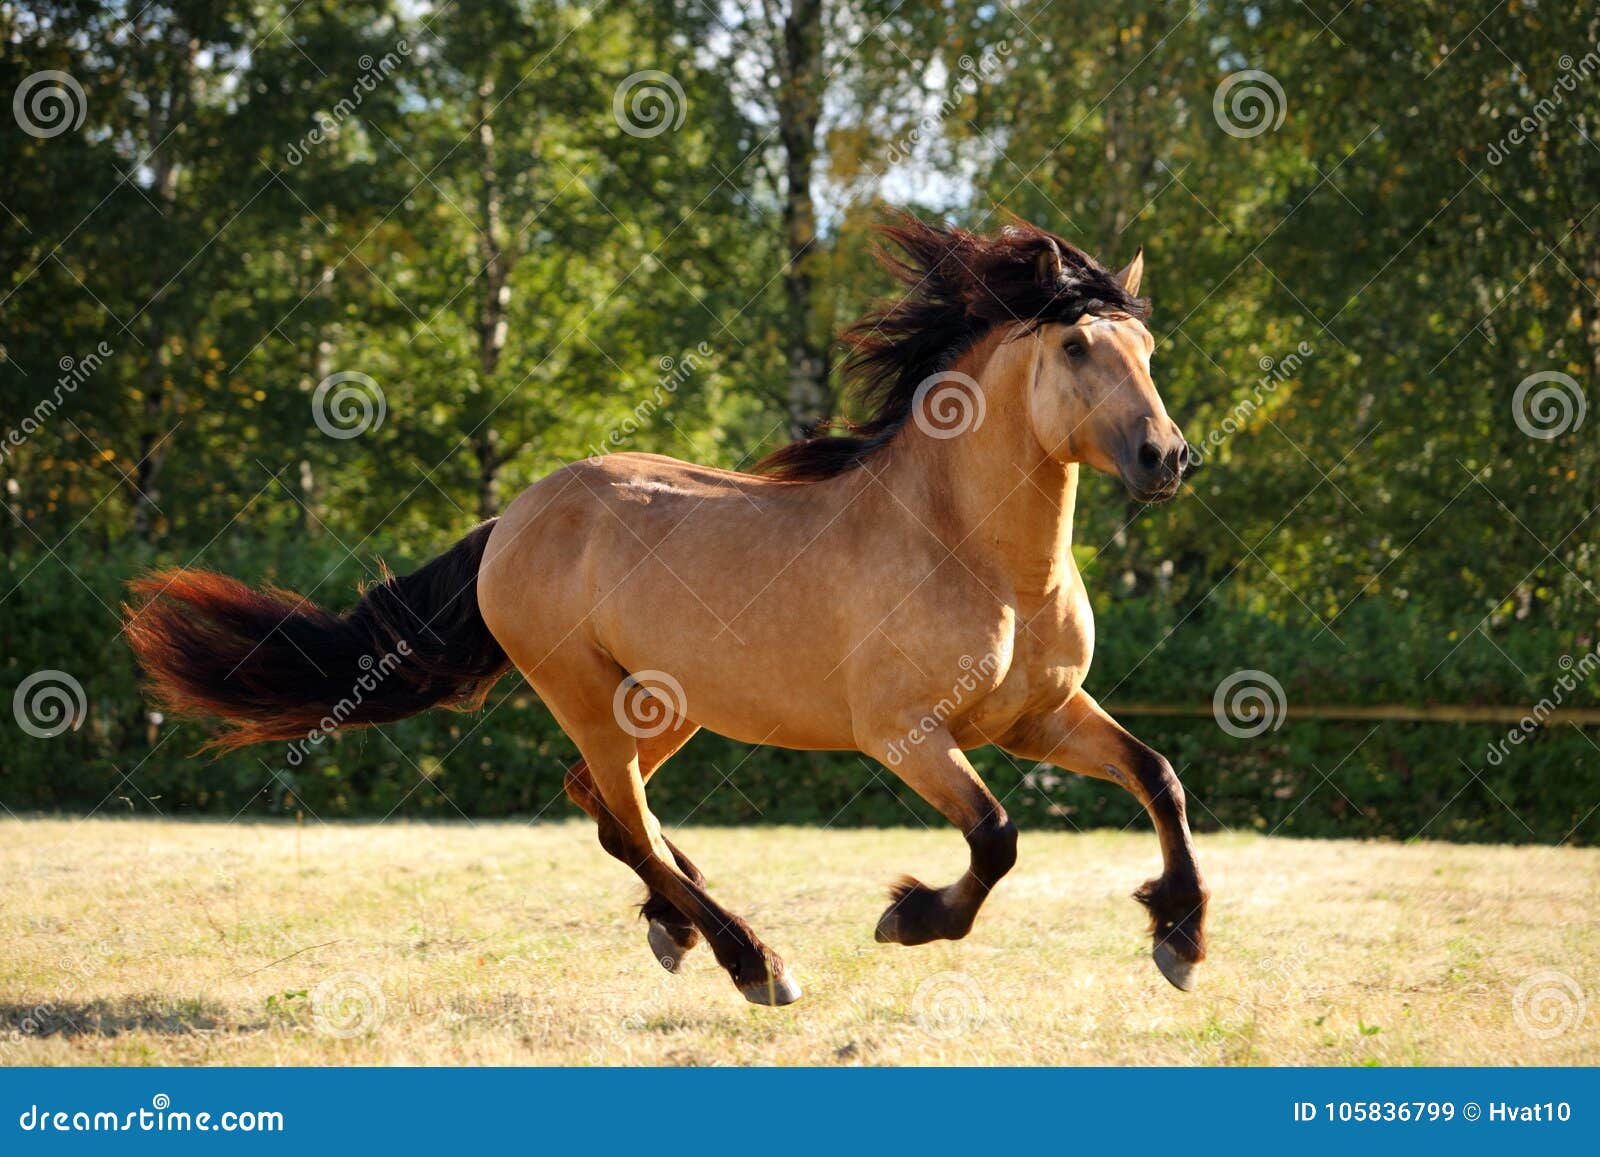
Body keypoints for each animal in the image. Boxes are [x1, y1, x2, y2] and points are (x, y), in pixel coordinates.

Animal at [124, 215, 1208, 1007]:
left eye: (1150, 345)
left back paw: (679, 925)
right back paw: (756, 963)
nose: (1167, 457)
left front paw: (1180, 936)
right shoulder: (905, 734)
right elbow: (996, 835)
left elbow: (1159, 776)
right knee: (629, 817)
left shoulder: (1038, 718)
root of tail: (516, 518)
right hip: (586, 693)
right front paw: (908, 917)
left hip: (660, 704)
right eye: (1076, 342)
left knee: (606, 804)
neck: (980, 556)